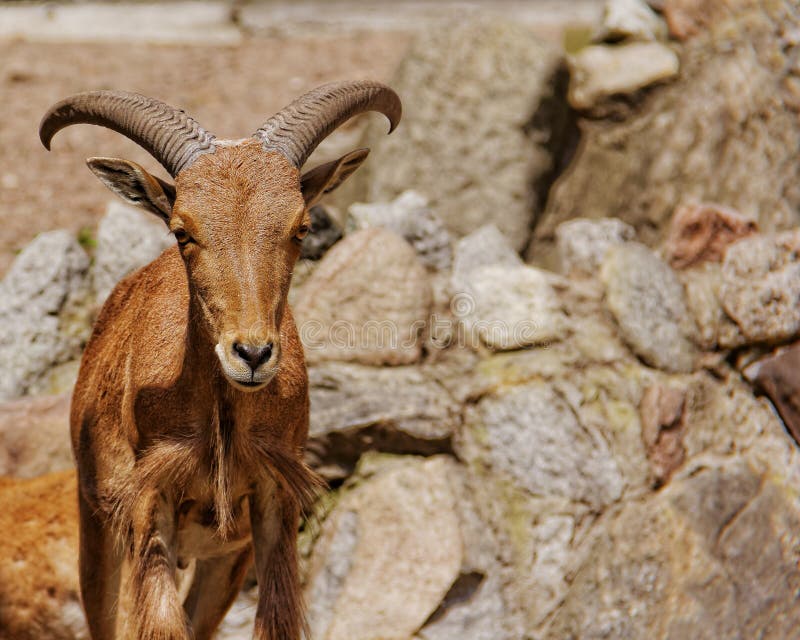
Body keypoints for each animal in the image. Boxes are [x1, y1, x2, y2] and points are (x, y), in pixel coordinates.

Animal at [39, 81, 401, 640]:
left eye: (301, 227)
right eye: (182, 230)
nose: (251, 354)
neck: (222, 424)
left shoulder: (271, 505)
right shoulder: (150, 505)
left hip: (221, 560)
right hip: (96, 529)